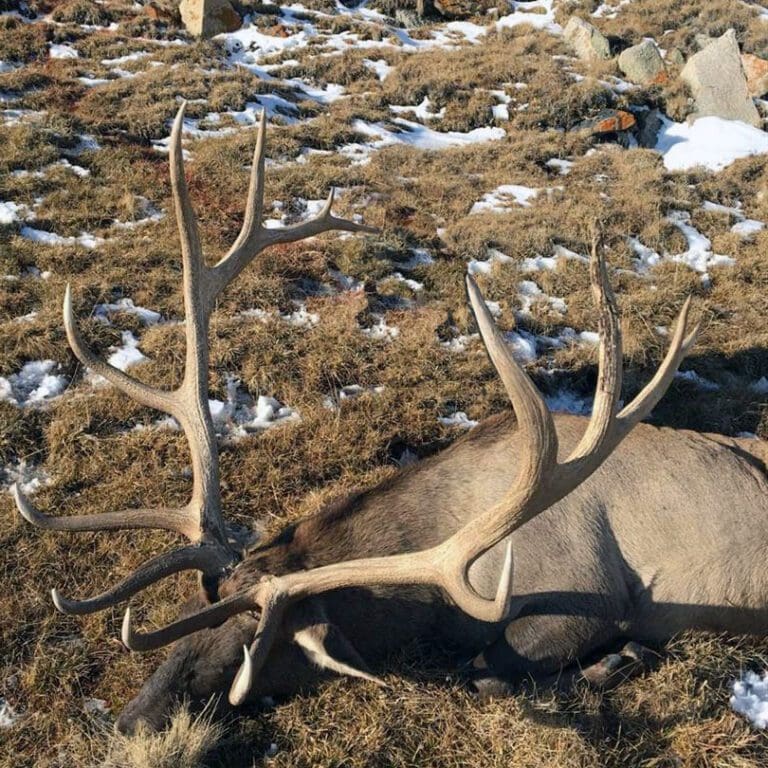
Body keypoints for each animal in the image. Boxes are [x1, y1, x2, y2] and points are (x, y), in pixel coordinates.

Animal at [13, 103, 768, 735]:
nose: (130, 720)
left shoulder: (588, 597)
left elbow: (489, 674)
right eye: (196, 611)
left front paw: (619, 659)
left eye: (248, 644)